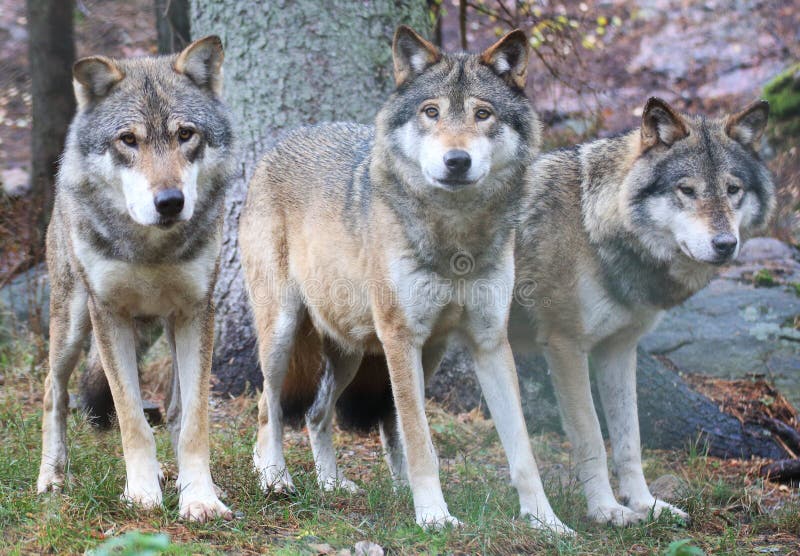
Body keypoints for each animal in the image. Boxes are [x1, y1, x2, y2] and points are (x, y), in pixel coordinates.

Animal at [36, 36, 235, 522]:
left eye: (185, 135)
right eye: (128, 140)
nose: (170, 202)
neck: (151, 249)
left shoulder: (196, 313)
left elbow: (194, 422)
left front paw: (200, 498)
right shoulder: (109, 315)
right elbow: (131, 419)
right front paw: (141, 494)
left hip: (165, 328)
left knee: (176, 409)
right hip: (72, 324)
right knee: (53, 390)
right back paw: (51, 477)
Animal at [239, 26, 572, 532]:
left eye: (482, 114)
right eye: (431, 112)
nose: (457, 161)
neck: (456, 237)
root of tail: (280, 142)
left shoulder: (490, 342)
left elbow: (521, 450)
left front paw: (546, 522)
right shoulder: (401, 338)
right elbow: (419, 441)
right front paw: (433, 515)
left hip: (374, 353)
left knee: (318, 414)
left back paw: (335, 484)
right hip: (283, 334)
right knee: (268, 406)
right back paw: (275, 479)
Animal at [508, 98, 775, 526]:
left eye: (733, 190)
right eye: (687, 190)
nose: (725, 244)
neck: (591, 227)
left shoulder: (618, 349)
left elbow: (629, 441)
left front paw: (645, 505)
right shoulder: (565, 347)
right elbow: (591, 438)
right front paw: (606, 510)